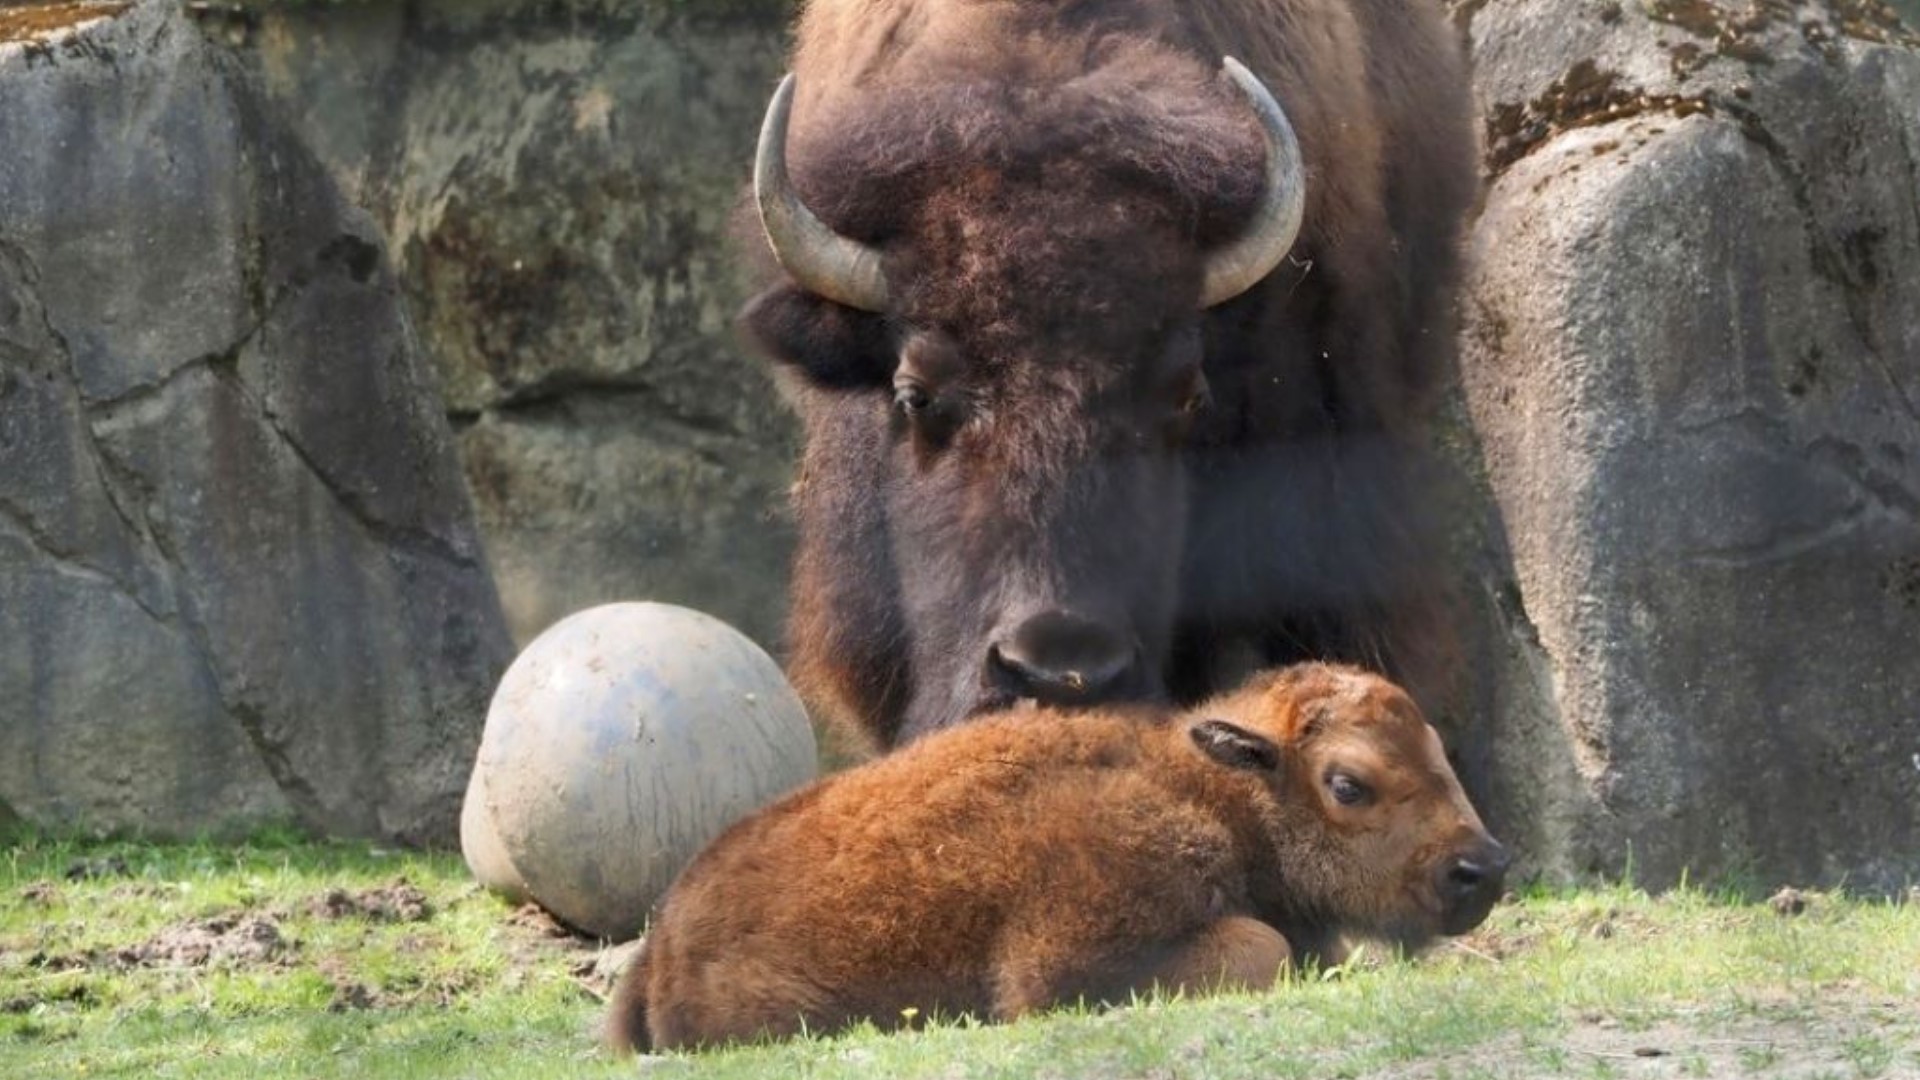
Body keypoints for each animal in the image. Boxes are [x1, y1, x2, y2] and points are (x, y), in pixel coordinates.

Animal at [606, 663, 1508, 1052]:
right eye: (1349, 783)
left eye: (1440, 755)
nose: (1482, 868)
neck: (1209, 790)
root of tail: (662, 947)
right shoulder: (1065, 960)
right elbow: (1265, 947)